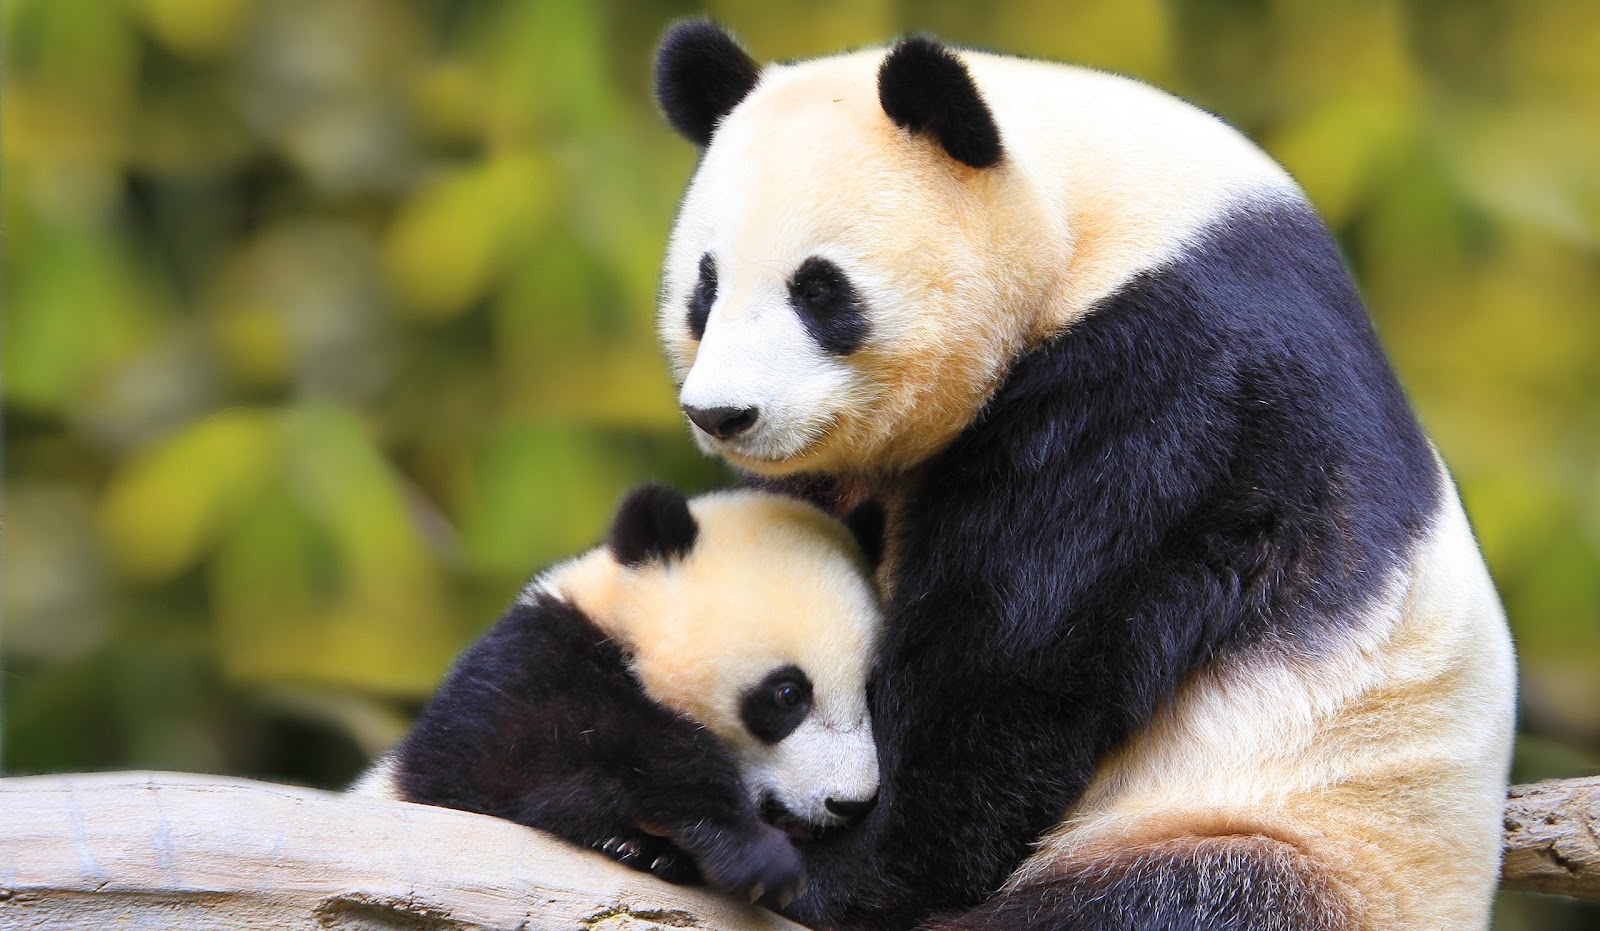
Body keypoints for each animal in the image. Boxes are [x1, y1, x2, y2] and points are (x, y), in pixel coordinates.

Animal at [353, 484, 885, 910]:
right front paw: (753, 853)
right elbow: (529, 760)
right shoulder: (520, 672)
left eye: (869, 690)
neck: (622, 629)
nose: (850, 803)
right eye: (788, 695)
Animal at [651, 22, 1518, 931]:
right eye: (705, 288)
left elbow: (1011, 662)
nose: (723, 413)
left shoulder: (1171, 380)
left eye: (819, 290)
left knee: (1155, 901)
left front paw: (819, 865)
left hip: (1293, 837)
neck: (1091, 217)